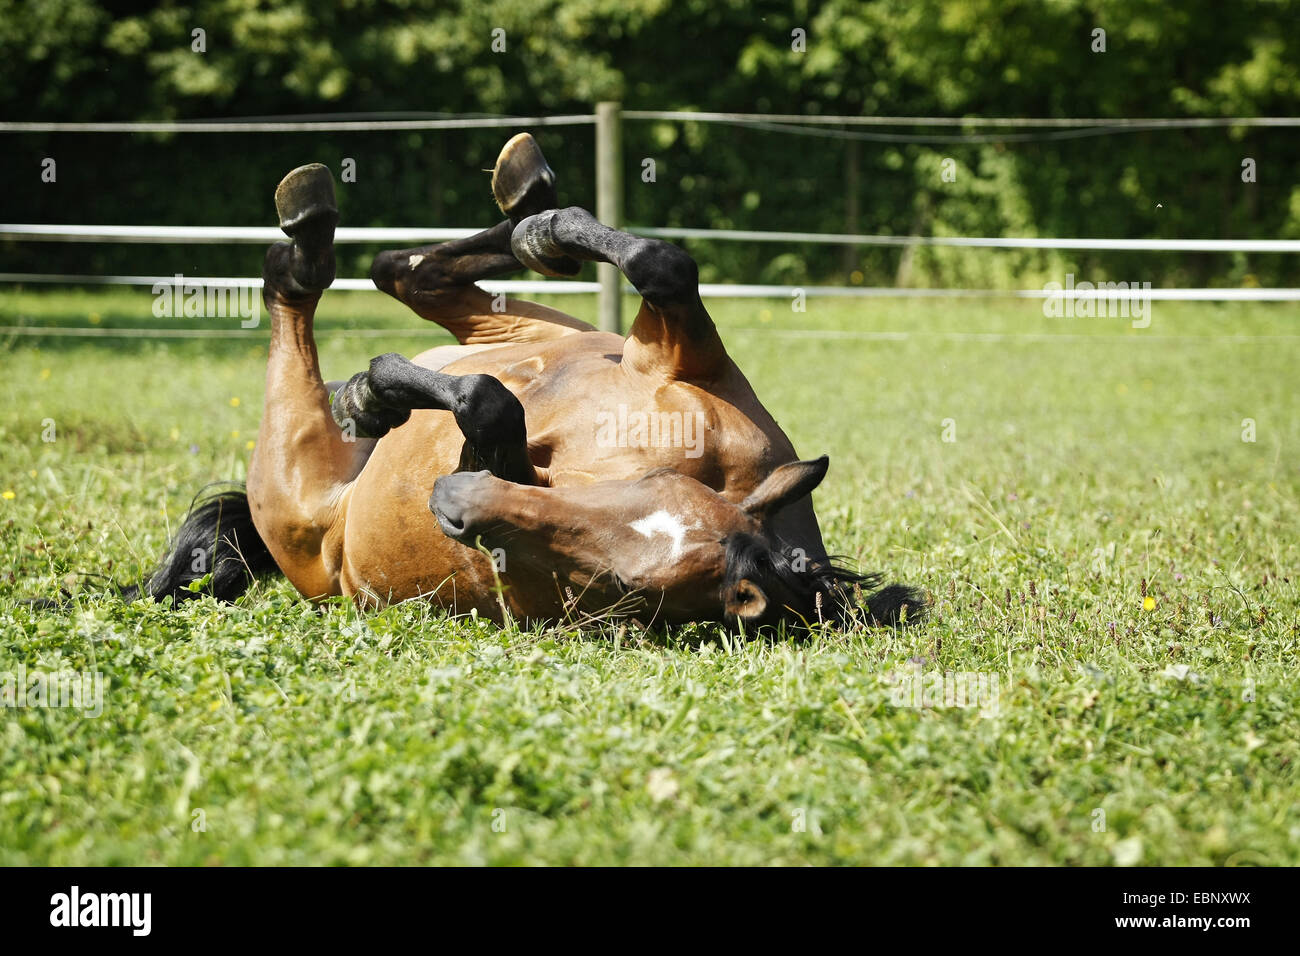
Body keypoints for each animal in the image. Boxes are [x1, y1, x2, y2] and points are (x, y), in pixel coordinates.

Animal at [128, 133, 923, 631]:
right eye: (647, 491)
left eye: (628, 585)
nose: (456, 501)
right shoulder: (685, 361)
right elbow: (663, 263)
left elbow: (488, 404)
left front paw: (375, 385)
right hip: (542, 330)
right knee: (408, 271)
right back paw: (523, 205)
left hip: (293, 486)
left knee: (305, 289)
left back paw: (319, 262)